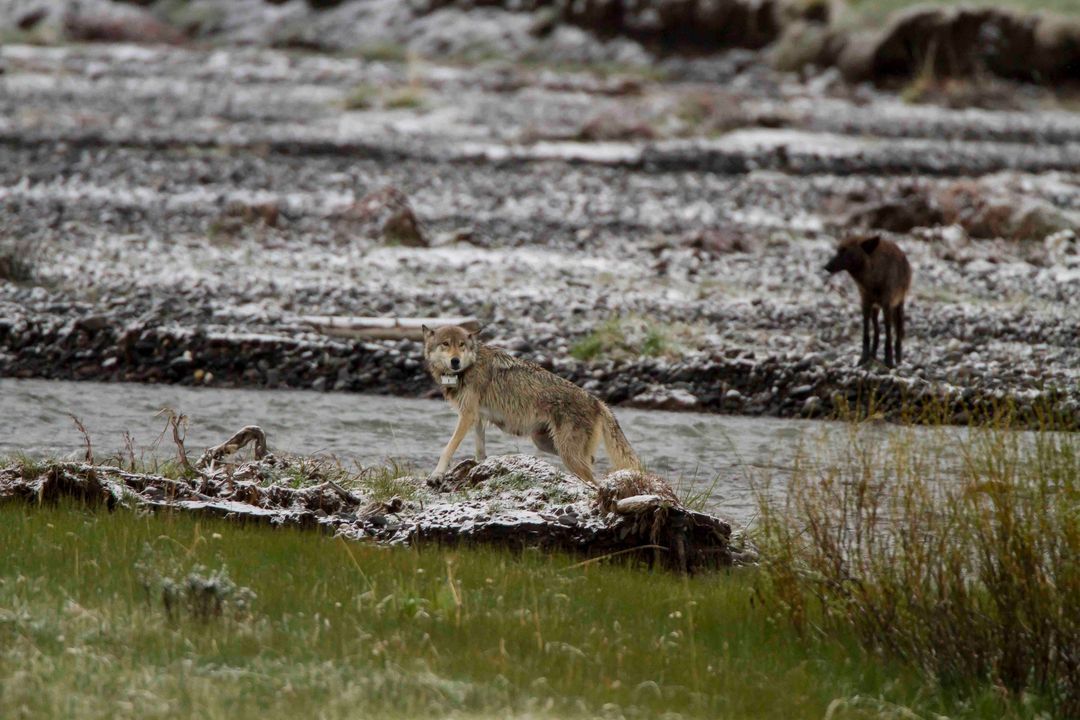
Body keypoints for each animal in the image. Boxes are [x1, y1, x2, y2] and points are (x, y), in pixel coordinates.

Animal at [422, 324, 641, 485]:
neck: (468, 368)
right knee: (593, 466)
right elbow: (480, 450)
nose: (455, 361)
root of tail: (598, 402)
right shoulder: (477, 417)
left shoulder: (466, 416)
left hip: (566, 453)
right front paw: (479, 467)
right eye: (445, 344)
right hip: (547, 444)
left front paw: (436, 475)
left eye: (461, 345)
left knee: (593, 481)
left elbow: (447, 448)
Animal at [824, 234, 912, 368]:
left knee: (898, 331)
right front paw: (863, 358)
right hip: (875, 309)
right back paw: (873, 355)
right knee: (876, 330)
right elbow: (866, 332)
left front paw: (889, 361)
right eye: (838, 250)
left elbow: (888, 334)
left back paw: (898, 360)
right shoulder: (865, 302)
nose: (826, 267)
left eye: (845, 251)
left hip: (898, 305)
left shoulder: (887, 304)